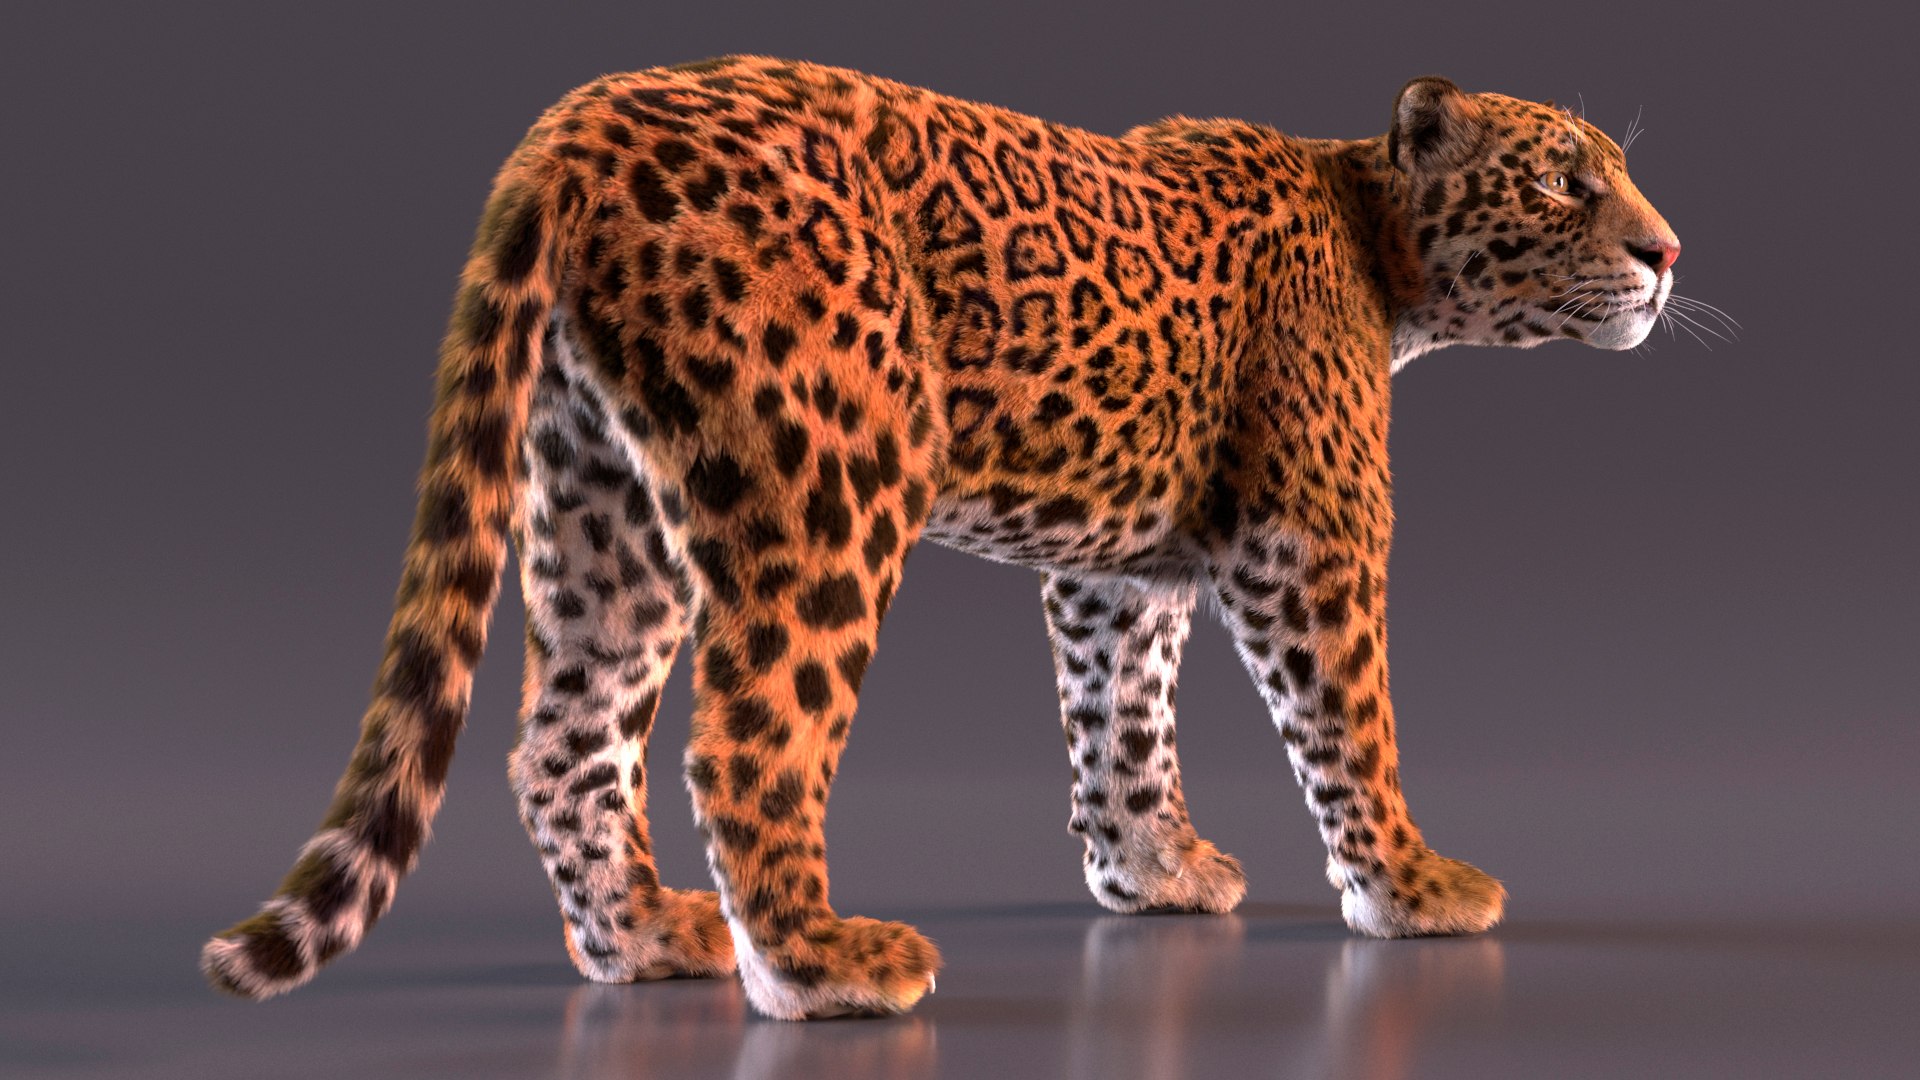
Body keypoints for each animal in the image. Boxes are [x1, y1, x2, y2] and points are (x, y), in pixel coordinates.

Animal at [201, 56, 1682, 1020]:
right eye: (1563, 183)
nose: (1667, 254)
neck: (1386, 250)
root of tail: (580, 123)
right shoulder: (1309, 536)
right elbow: (1351, 723)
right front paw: (1410, 885)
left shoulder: (1115, 573)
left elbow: (1122, 718)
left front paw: (1150, 872)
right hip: (832, 478)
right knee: (745, 744)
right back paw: (821, 965)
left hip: (600, 496)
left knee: (564, 741)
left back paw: (643, 943)